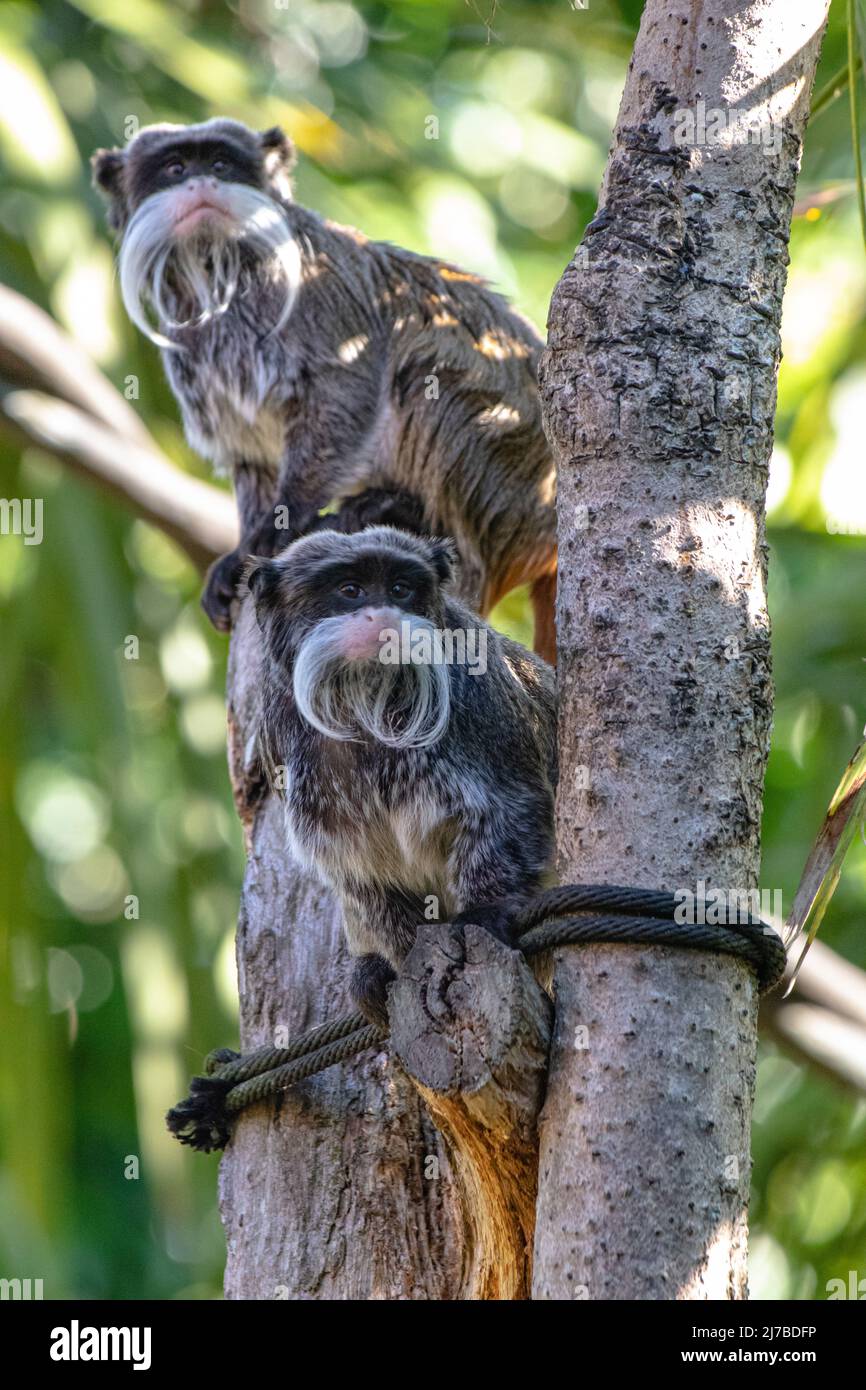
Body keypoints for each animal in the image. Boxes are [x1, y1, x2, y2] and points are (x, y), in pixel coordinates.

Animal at [91, 118, 558, 660]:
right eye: (175, 168)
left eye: (222, 164)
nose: (202, 183)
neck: (218, 273)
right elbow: (250, 451)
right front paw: (241, 550)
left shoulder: (322, 294)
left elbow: (349, 389)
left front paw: (279, 526)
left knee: (429, 355)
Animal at [246, 525, 557, 1027]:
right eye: (350, 590)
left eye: (399, 589)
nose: (385, 616)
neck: (365, 701)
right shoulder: (277, 733)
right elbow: (362, 874)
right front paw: (408, 956)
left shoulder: (480, 689)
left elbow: (514, 805)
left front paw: (487, 915)